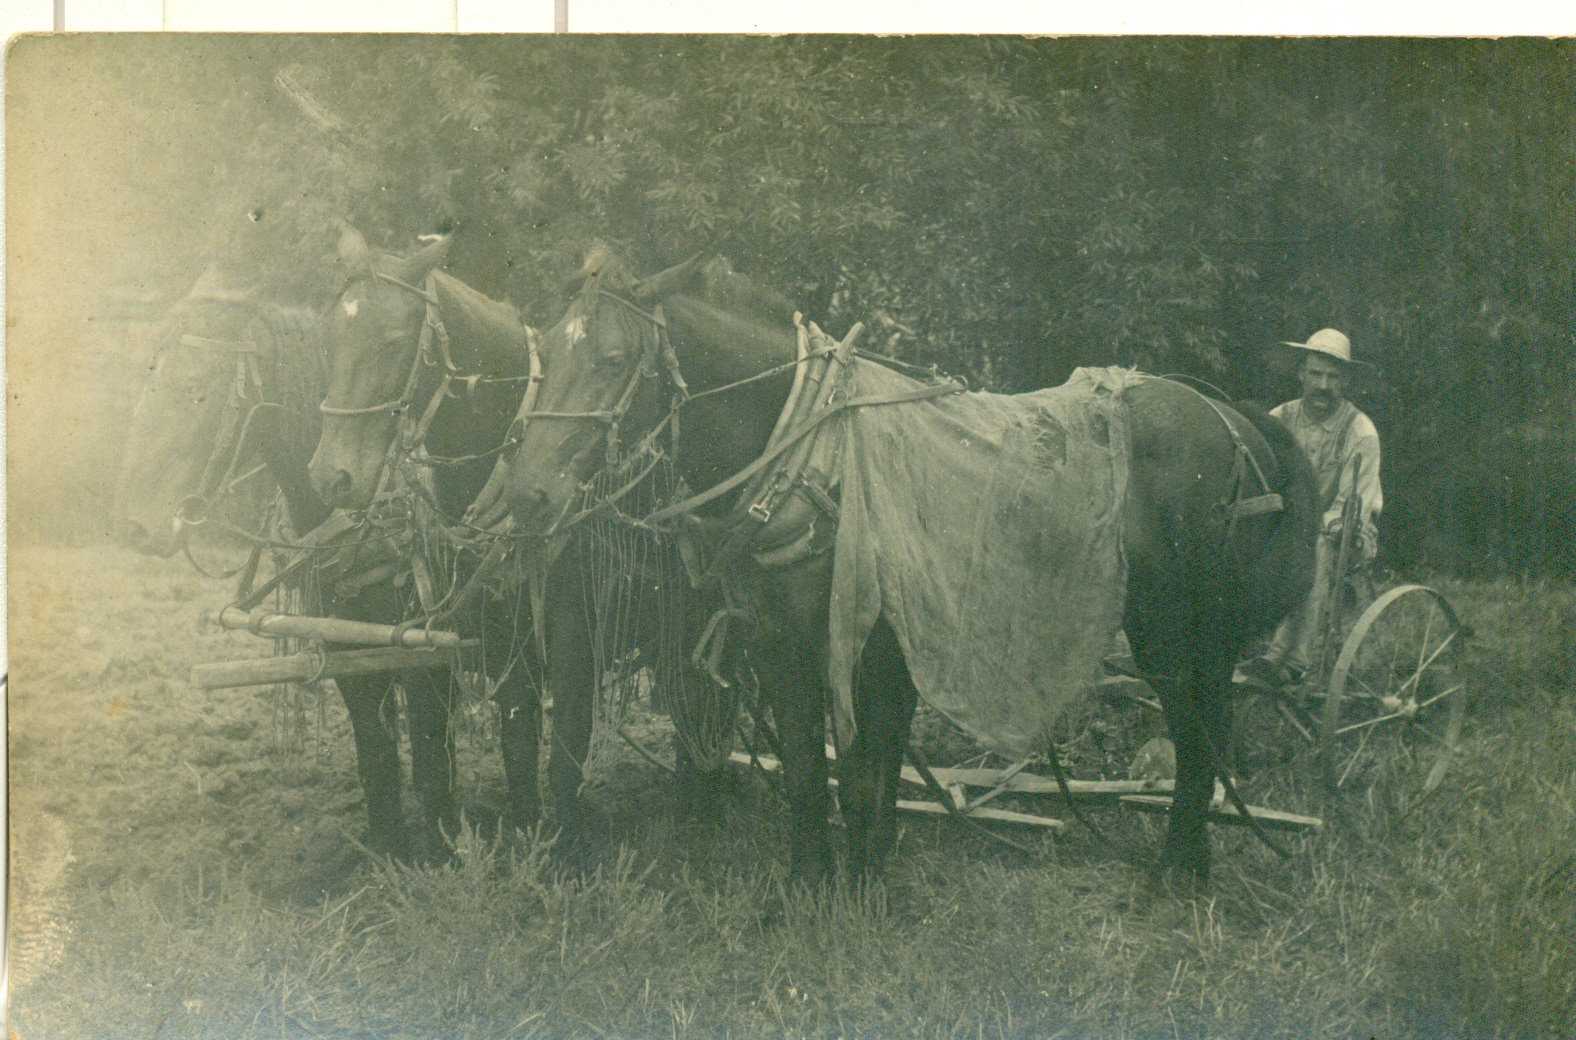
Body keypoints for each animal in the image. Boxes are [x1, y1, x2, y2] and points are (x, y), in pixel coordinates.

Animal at [112, 257, 498, 864]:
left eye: (196, 387)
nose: (132, 526)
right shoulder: (345, 643)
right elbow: (374, 750)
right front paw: (386, 852)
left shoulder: (426, 651)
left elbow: (433, 757)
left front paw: (439, 856)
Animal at [307, 228, 733, 856]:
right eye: (330, 340)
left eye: (392, 342)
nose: (330, 478)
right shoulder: (458, 636)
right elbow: (467, 743)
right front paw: (473, 842)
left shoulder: (561, 633)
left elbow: (552, 740)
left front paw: (554, 842)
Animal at [491, 246, 1319, 886]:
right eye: (545, 356)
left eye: (613, 360)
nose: (529, 491)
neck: (809, 451)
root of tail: (1228, 416)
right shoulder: (780, 642)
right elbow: (808, 767)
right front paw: (809, 883)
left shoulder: (875, 649)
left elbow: (865, 772)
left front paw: (865, 881)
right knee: (1205, 730)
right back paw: (1191, 865)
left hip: (1176, 629)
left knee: (1198, 731)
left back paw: (1177, 871)